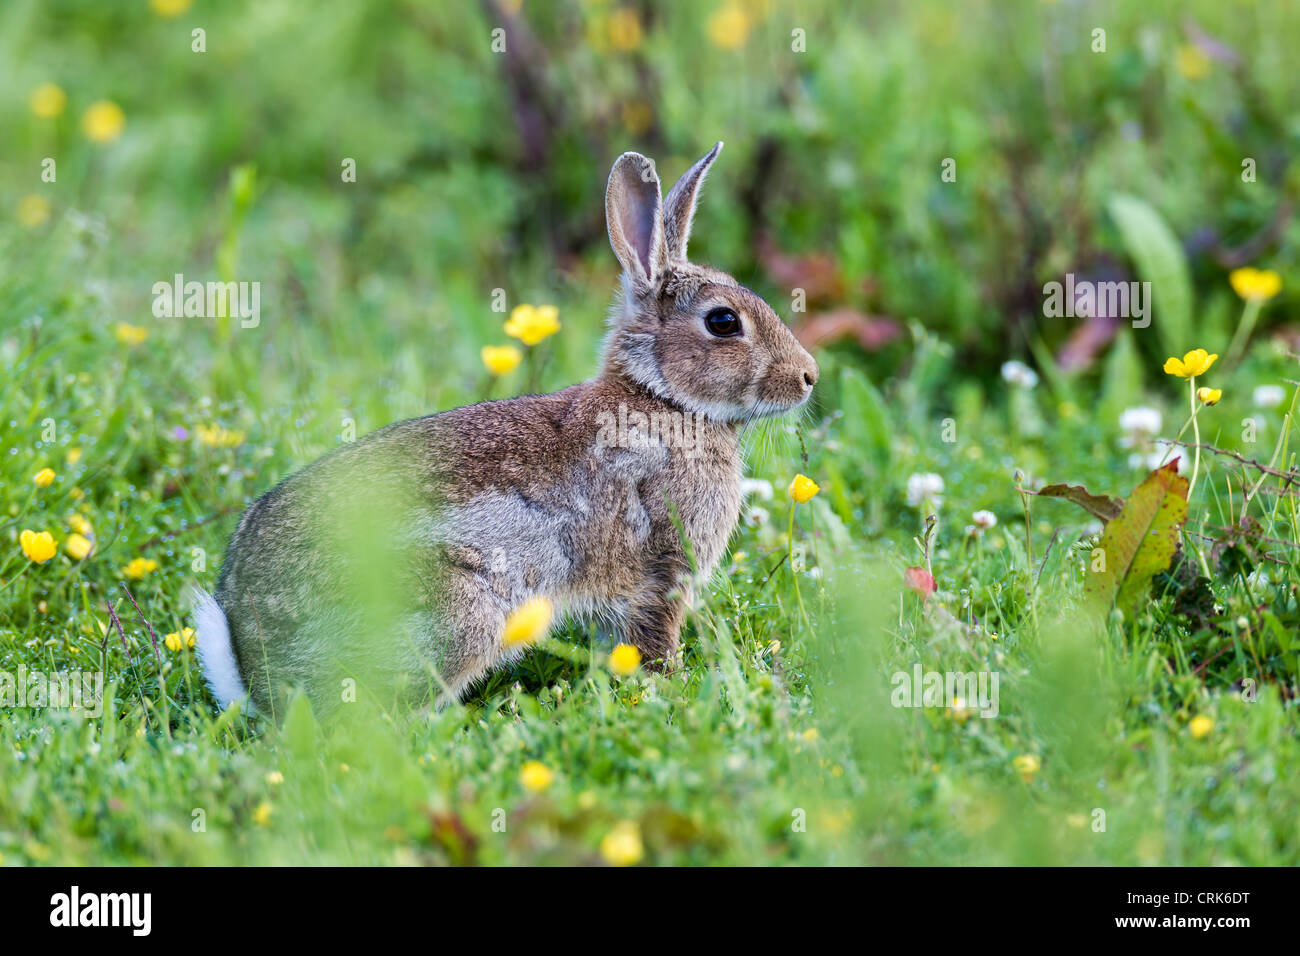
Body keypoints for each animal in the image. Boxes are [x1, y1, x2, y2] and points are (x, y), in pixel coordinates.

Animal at [193, 141, 819, 717]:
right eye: (723, 322)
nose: (809, 376)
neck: (660, 396)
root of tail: (253, 668)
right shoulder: (659, 575)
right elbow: (652, 641)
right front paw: (672, 687)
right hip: (458, 609)